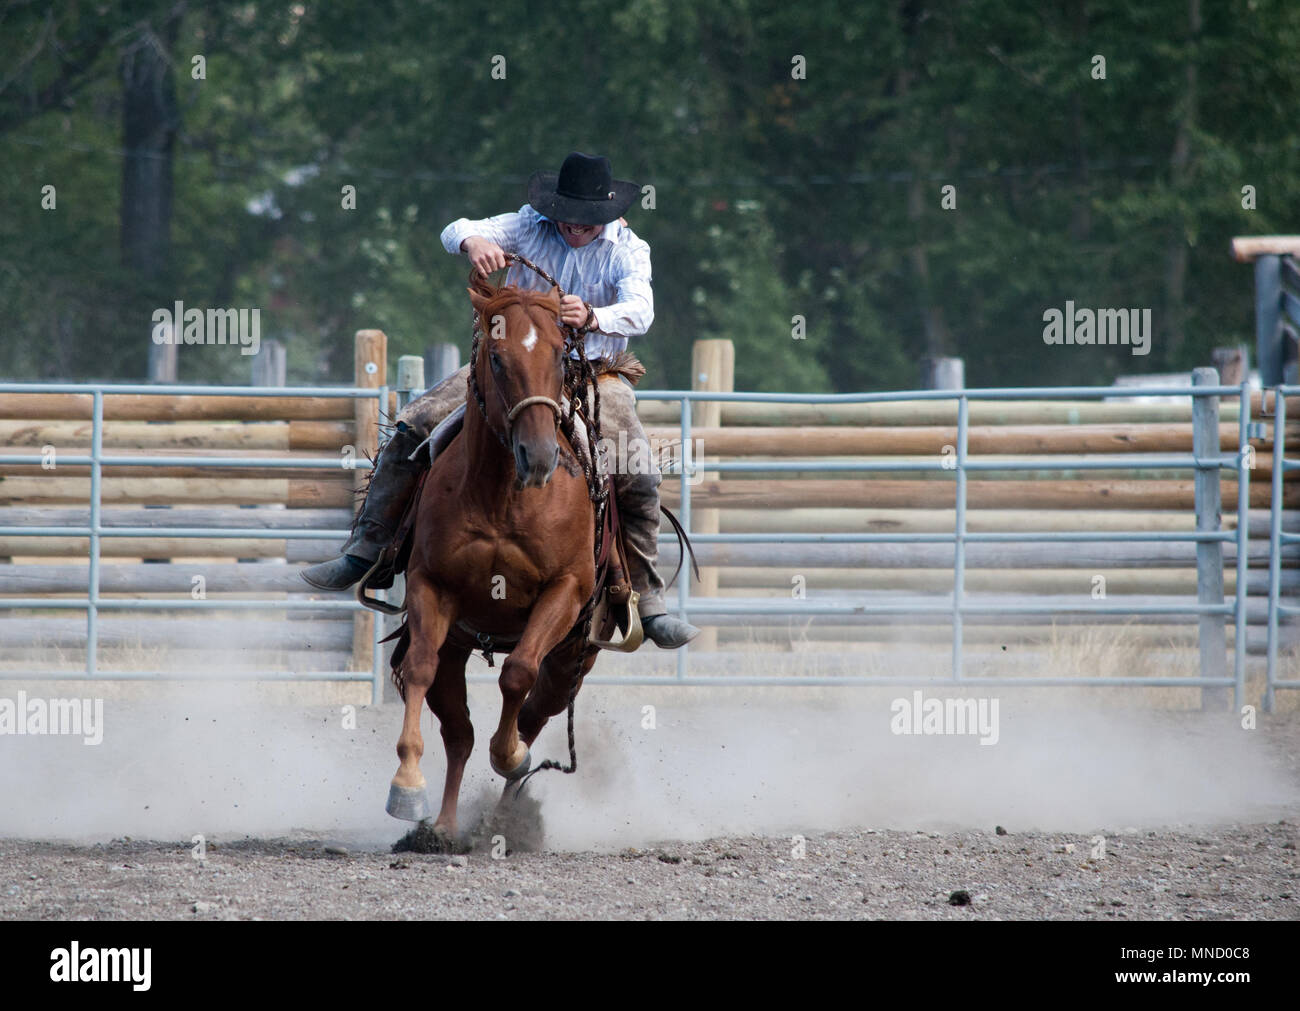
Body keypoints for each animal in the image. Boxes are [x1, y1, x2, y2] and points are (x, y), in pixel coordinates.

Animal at [383, 275, 609, 850]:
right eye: (498, 358)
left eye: (560, 356)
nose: (540, 456)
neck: (502, 497)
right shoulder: (430, 586)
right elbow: (419, 668)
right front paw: (406, 785)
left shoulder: (565, 589)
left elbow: (517, 673)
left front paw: (509, 755)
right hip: (457, 644)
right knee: (458, 733)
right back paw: (443, 826)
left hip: (572, 659)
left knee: (533, 712)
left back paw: (507, 811)